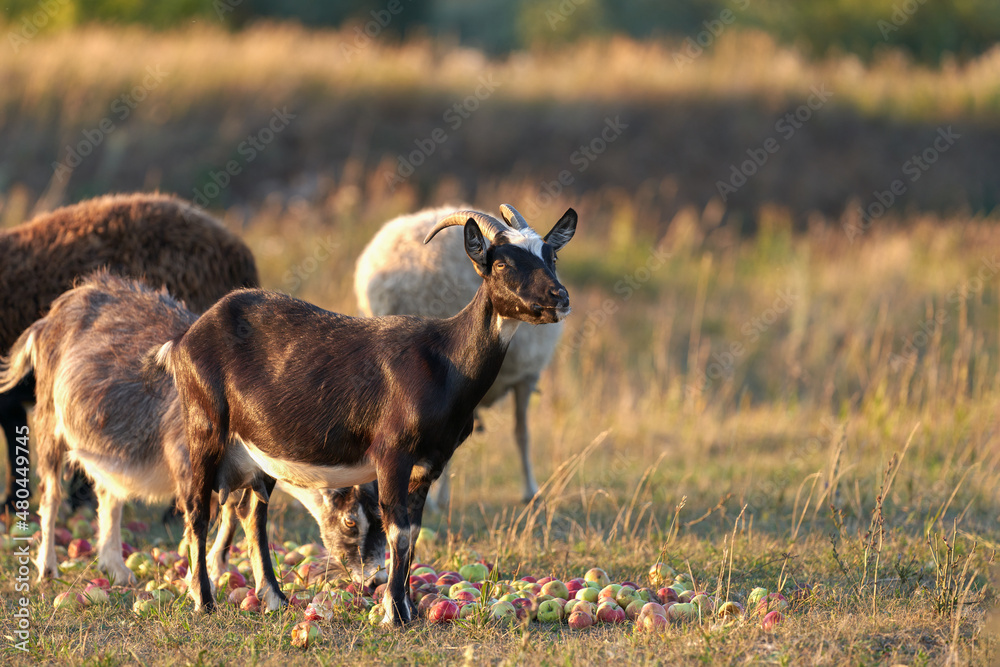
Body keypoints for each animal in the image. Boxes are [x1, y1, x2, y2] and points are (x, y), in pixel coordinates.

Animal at [0, 271, 386, 587]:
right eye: (351, 522)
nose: (375, 580)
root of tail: (52, 315)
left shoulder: (244, 471)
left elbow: (232, 516)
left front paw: (216, 568)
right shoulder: (189, 462)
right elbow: (202, 515)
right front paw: (196, 580)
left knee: (109, 491)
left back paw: (117, 569)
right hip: (50, 419)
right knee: (51, 492)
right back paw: (47, 568)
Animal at [355, 205, 573, 508]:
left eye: (552, 257)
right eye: (501, 264)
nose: (560, 297)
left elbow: (521, 433)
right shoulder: (524, 374)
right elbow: (522, 434)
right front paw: (531, 491)